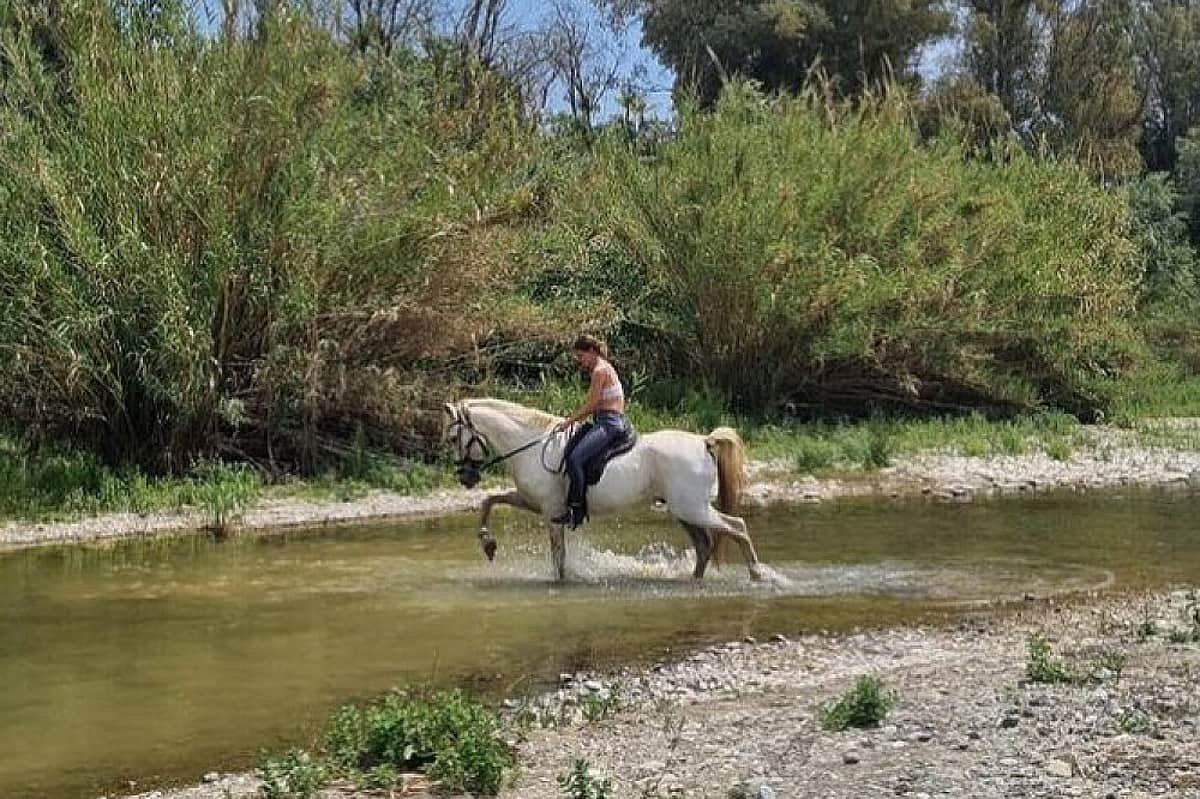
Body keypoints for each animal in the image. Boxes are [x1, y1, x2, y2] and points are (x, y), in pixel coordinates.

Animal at [441, 395, 758, 578]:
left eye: (454, 438)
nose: (465, 478)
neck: (530, 444)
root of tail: (705, 441)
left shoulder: (551, 512)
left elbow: (558, 558)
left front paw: (560, 584)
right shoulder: (532, 502)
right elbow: (490, 500)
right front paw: (488, 544)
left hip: (692, 508)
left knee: (738, 527)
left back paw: (756, 574)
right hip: (684, 510)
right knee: (704, 545)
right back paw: (694, 580)